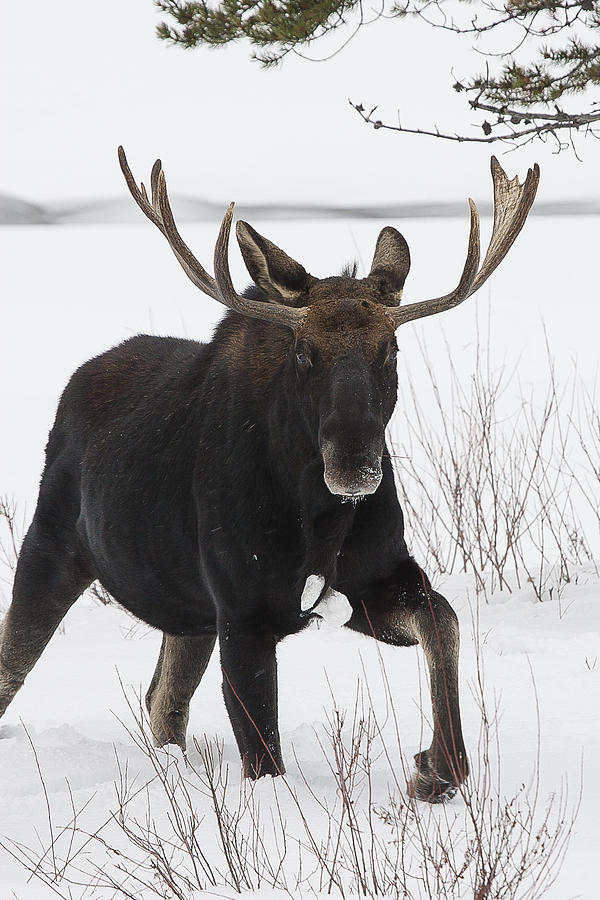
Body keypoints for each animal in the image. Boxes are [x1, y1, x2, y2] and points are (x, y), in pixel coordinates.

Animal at [0, 149, 539, 801]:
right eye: (304, 351)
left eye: (391, 349)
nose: (355, 462)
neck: (318, 518)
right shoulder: (244, 613)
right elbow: (264, 759)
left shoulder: (373, 578)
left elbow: (447, 624)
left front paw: (436, 768)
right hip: (49, 547)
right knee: (16, 672)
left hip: (187, 610)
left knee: (162, 702)